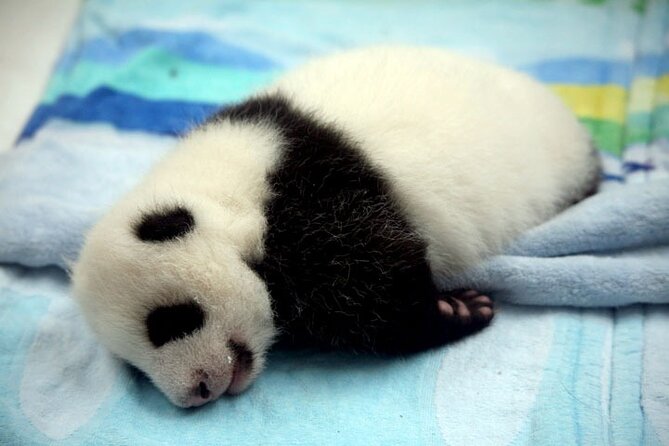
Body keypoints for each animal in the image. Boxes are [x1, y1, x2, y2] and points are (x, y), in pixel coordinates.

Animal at [71, 46, 600, 408]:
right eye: (134, 367)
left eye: (171, 321)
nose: (195, 391)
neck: (224, 191)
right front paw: (458, 308)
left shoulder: (309, 191)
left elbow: (374, 277)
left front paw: (457, 308)